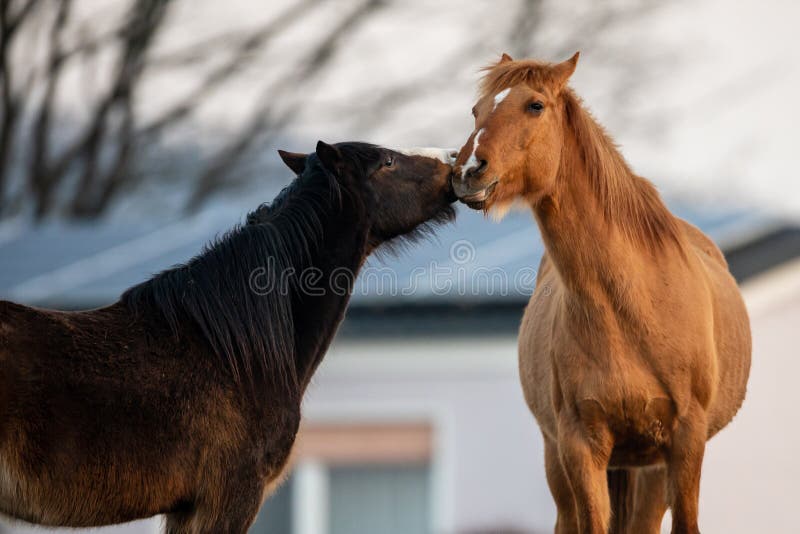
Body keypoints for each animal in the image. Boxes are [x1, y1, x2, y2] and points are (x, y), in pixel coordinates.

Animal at [452, 53, 751, 534]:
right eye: (476, 110)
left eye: (535, 105)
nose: (466, 172)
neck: (631, 306)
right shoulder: (580, 444)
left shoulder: (685, 442)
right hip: (562, 462)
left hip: (651, 469)